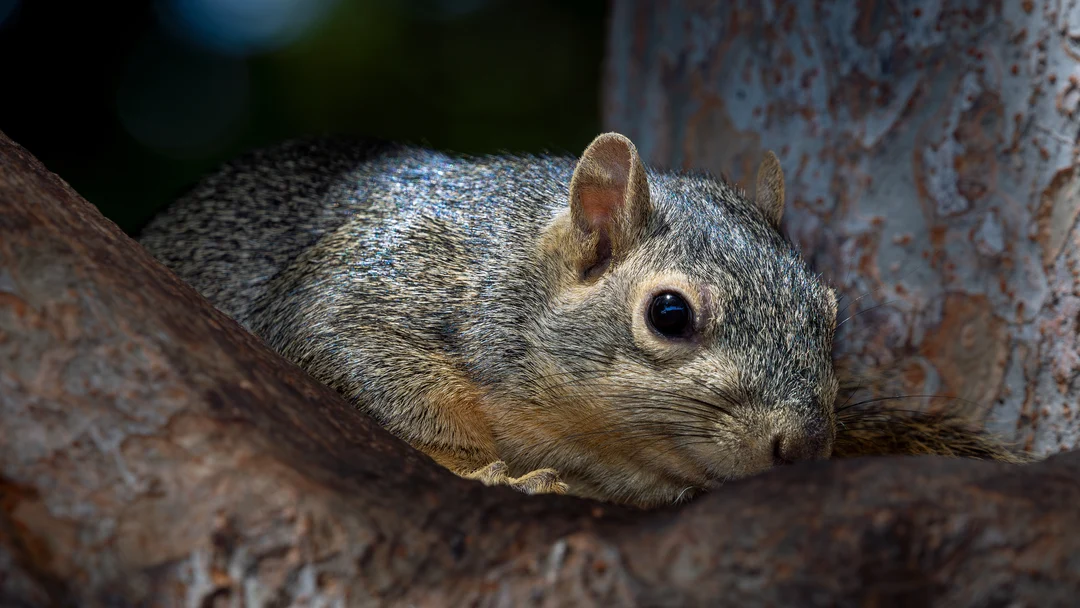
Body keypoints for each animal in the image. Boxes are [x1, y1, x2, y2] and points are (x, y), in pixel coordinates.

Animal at [138, 132, 1026, 508]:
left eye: (831, 316)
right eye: (669, 314)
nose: (805, 447)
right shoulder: (362, 293)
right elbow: (350, 370)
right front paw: (488, 470)